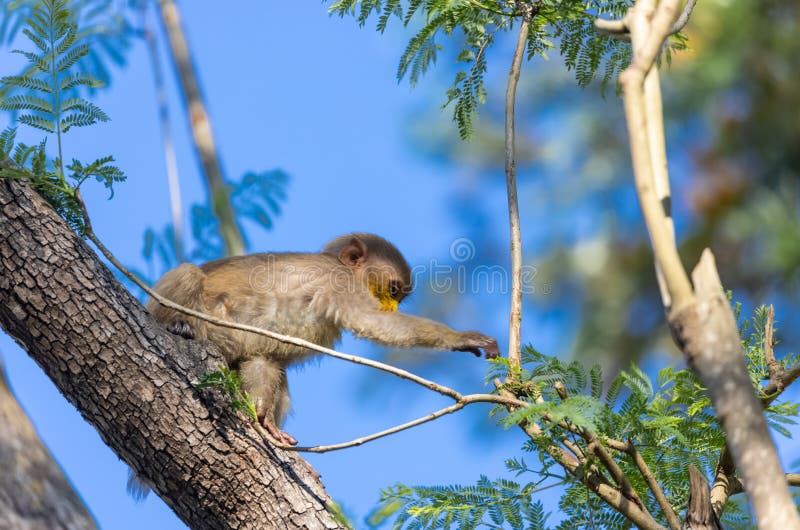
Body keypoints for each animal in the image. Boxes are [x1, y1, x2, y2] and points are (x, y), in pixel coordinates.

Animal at [147, 233, 499, 445]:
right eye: (393, 290)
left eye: (400, 296)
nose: (393, 306)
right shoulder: (339, 282)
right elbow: (373, 322)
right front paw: (460, 338)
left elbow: (264, 360)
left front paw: (263, 415)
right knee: (189, 274)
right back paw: (178, 326)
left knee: (264, 360)